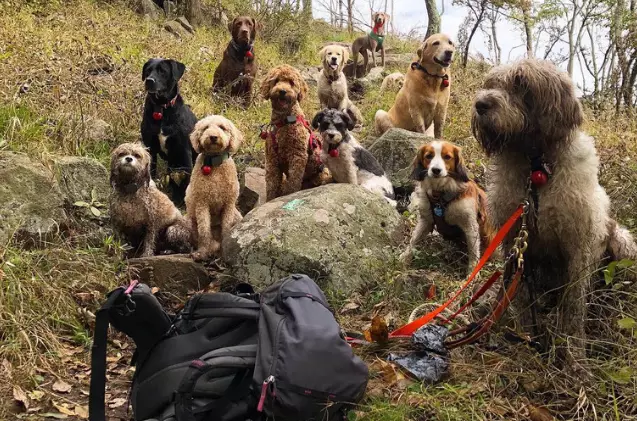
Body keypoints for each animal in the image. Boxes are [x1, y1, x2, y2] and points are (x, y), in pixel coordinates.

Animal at [141, 57, 196, 205]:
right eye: (148, 71)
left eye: (163, 71)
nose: (149, 80)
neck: (161, 110)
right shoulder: (150, 147)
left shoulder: (183, 150)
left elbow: (185, 181)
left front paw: (180, 201)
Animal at [186, 114, 243, 260]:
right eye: (206, 127)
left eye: (222, 127)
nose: (213, 137)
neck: (215, 164)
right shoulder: (202, 204)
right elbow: (204, 230)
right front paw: (202, 252)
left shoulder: (229, 204)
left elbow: (226, 228)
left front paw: (225, 250)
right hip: (189, 220)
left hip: (238, 216)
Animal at [258, 64, 328, 200]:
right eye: (276, 80)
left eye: (291, 82)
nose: (282, 91)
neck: (284, 121)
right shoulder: (272, 159)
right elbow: (272, 184)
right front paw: (271, 199)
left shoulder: (297, 157)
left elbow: (293, 184)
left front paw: (290, 194)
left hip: (323, 172)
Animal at [472, 58, 636, 374]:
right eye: (491, 83)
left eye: (521, 83)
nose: (480, 104)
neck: (536, 168)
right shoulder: (515, 241)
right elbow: (520, 296)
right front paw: (524, 337)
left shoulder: (579, 247)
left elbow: (572, 306)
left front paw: (574, 357)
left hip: (622, 242)